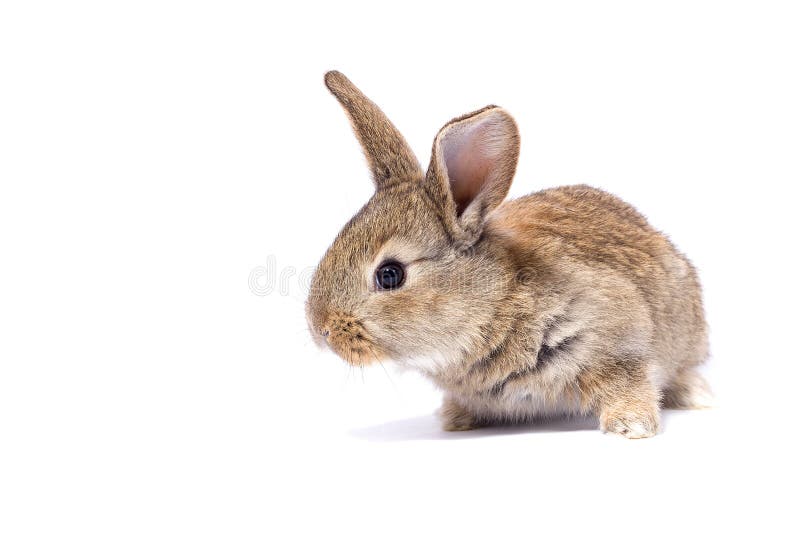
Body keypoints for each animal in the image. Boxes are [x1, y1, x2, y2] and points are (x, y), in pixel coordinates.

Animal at [306, 71, 711, 438]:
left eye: (390, 274)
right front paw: (455, 420)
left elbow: (627, 379)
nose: (320, 329)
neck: (494, 301)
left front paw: (631, 425)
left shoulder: (619, 340)